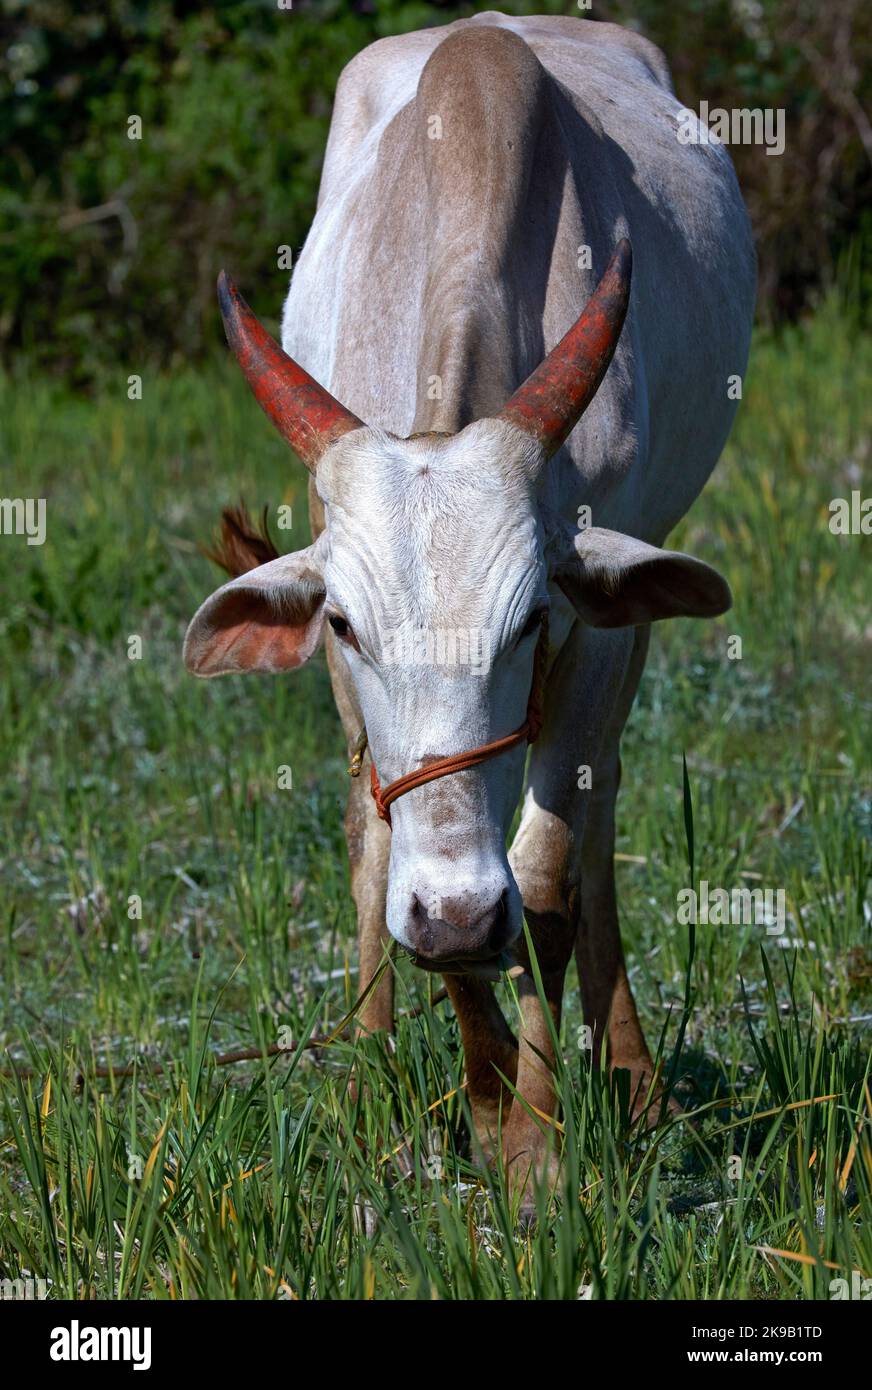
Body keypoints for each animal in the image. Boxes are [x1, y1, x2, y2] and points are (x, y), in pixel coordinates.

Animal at [184, 12, 755, 1203]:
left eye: (527, 618)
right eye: (344, 624)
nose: (451, 915)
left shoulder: (594, 625)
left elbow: (541, 880)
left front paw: (529, 1142)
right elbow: (390, 843)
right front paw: (479, 1102)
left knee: (593, 817)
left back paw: (632, 1078)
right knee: (375, 837)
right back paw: (368, 1081)